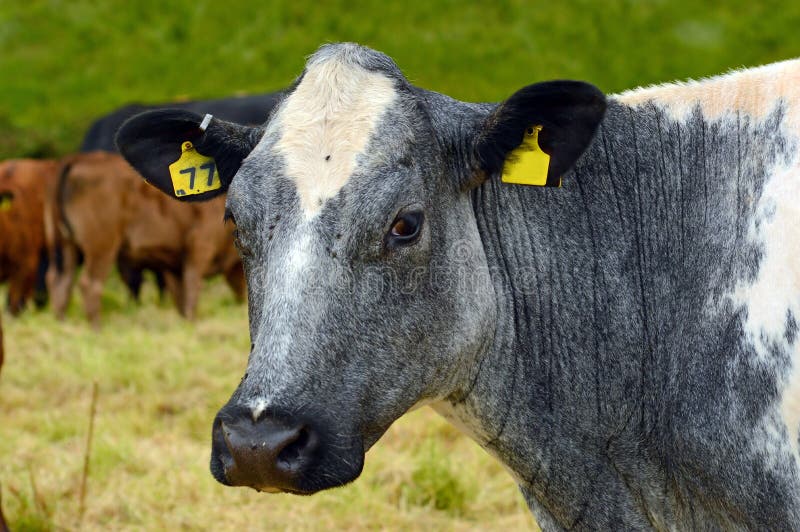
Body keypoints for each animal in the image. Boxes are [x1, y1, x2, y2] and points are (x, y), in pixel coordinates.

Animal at [48, 152, 243, 327]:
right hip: (102, 248)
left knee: (61, 282)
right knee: (90, 284)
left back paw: (62, 324)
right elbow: (192, 286)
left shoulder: (174, 264)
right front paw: (192, 322)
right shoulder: (199, 248)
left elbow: (180, 294)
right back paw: (97, 327)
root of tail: (78, 159)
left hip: (67, 247)